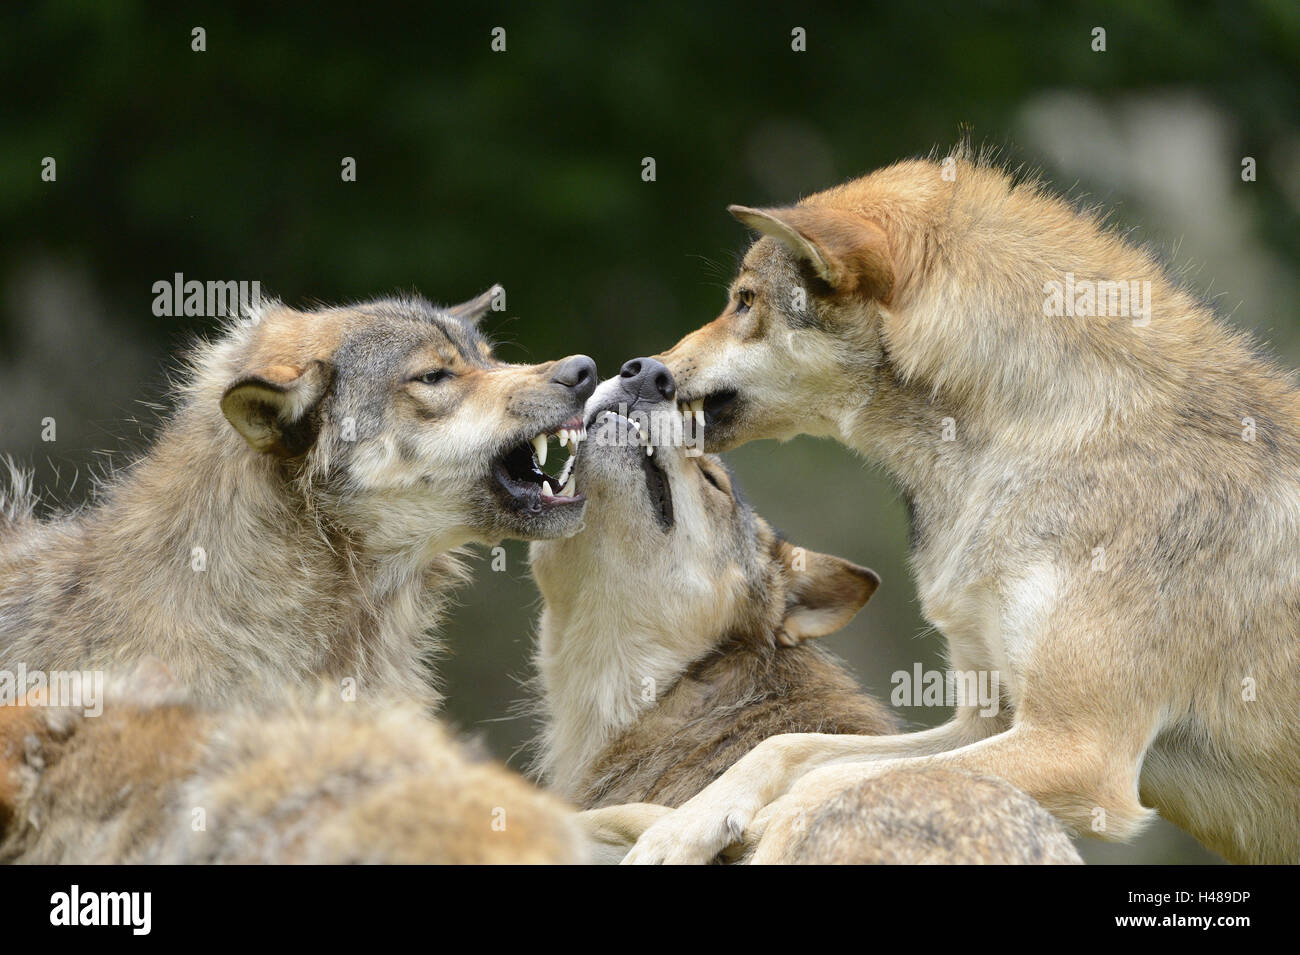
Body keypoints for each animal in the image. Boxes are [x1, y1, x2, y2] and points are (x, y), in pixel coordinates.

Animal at [625, 154, 1300, 864]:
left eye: (745, 301)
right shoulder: (984, 720)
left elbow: (826, 785)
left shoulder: (1078, 750)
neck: (1048, 437)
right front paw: (681, 828)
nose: (642, 368)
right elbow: (784, 747)